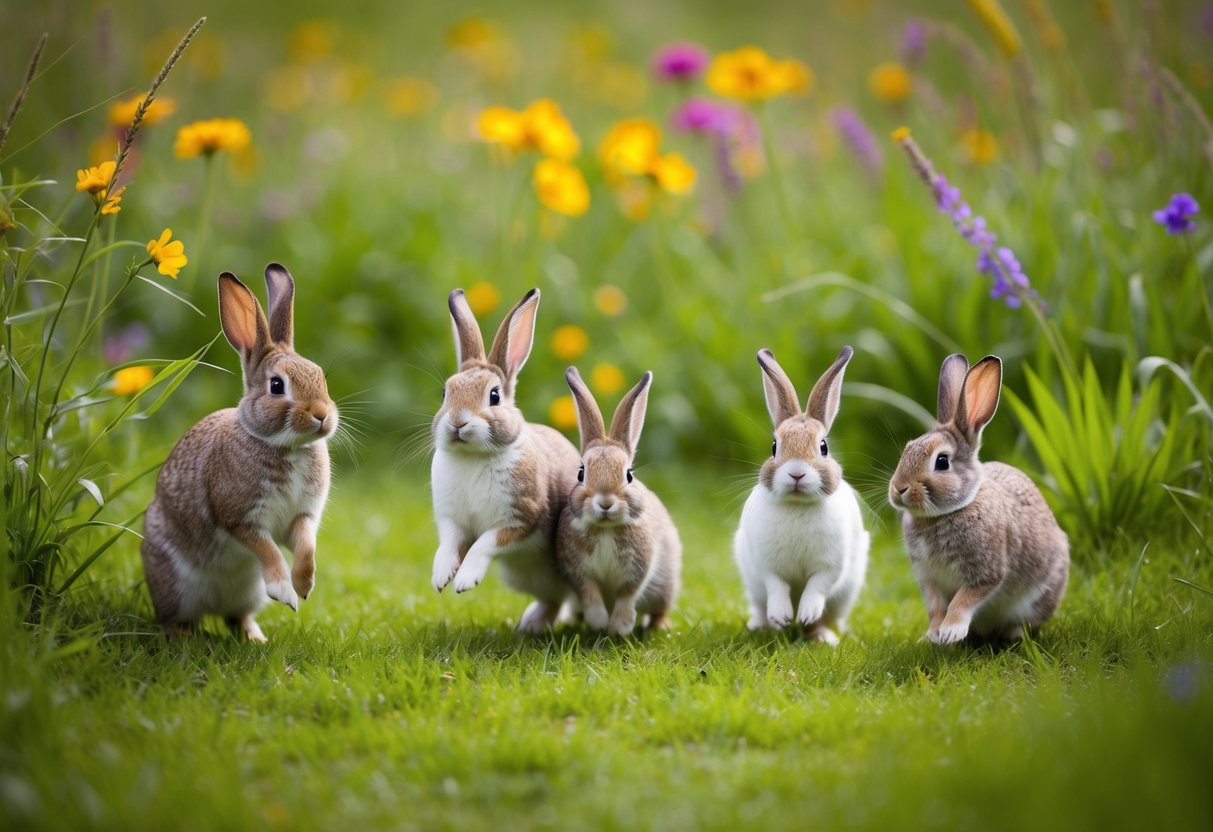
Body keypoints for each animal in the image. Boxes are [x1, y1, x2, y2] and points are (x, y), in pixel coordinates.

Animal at [141, 264, 337, 642]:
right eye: (277, 386)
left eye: (321, 376)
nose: (322, 415)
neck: (287, 446)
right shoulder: (239, 517)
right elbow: (267, 550)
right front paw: (284, 592)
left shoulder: (301, 516)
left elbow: (305, 545)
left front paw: (304, 586)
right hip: (173, 581)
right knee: (175, 618)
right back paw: (184, 638)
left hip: (247, 594)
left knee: (237, 617)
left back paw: (254, 638)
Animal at [430, 288, 583, 633]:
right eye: (446, 393)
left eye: (494, 396)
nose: (457, 423)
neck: (473, 457)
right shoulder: (452, 520)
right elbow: (449, 542)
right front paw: (441, 576)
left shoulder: (520, 518)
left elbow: (485, 542)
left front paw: (465, 581)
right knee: (554, 600)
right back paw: (531, 624)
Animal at [556, 367, 682, 636]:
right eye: (581, 473)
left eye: (629, 475)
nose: (605, 502)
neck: (605, 528)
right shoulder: (578, 573)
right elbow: (590, 593)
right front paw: (599, 622)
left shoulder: (638, 569)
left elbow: (627, 595)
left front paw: (619, 627)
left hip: (663, 588)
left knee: (658, 610)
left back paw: (660, 626)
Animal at [733, 347, 870, 643]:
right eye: (774, 446)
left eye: (823, 446)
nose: (796, 474)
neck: (797, 505)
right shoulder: (767, 565)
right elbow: (777, 586)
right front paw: (783, 615)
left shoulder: (831, 566)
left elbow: (817, 587)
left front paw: (806, 613)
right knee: (761, 606)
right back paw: (765, 626)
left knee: (826, 618)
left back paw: (822, 636)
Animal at [888, 354, 1070, 645]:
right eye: (907, 449)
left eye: (942, 461)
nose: (899, 489)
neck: (943, 515)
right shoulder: (928, 578)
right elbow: (935, 607)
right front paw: (934, 634)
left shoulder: (986, 571)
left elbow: (963, 600)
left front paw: (951, 632)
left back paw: (1014, 634)